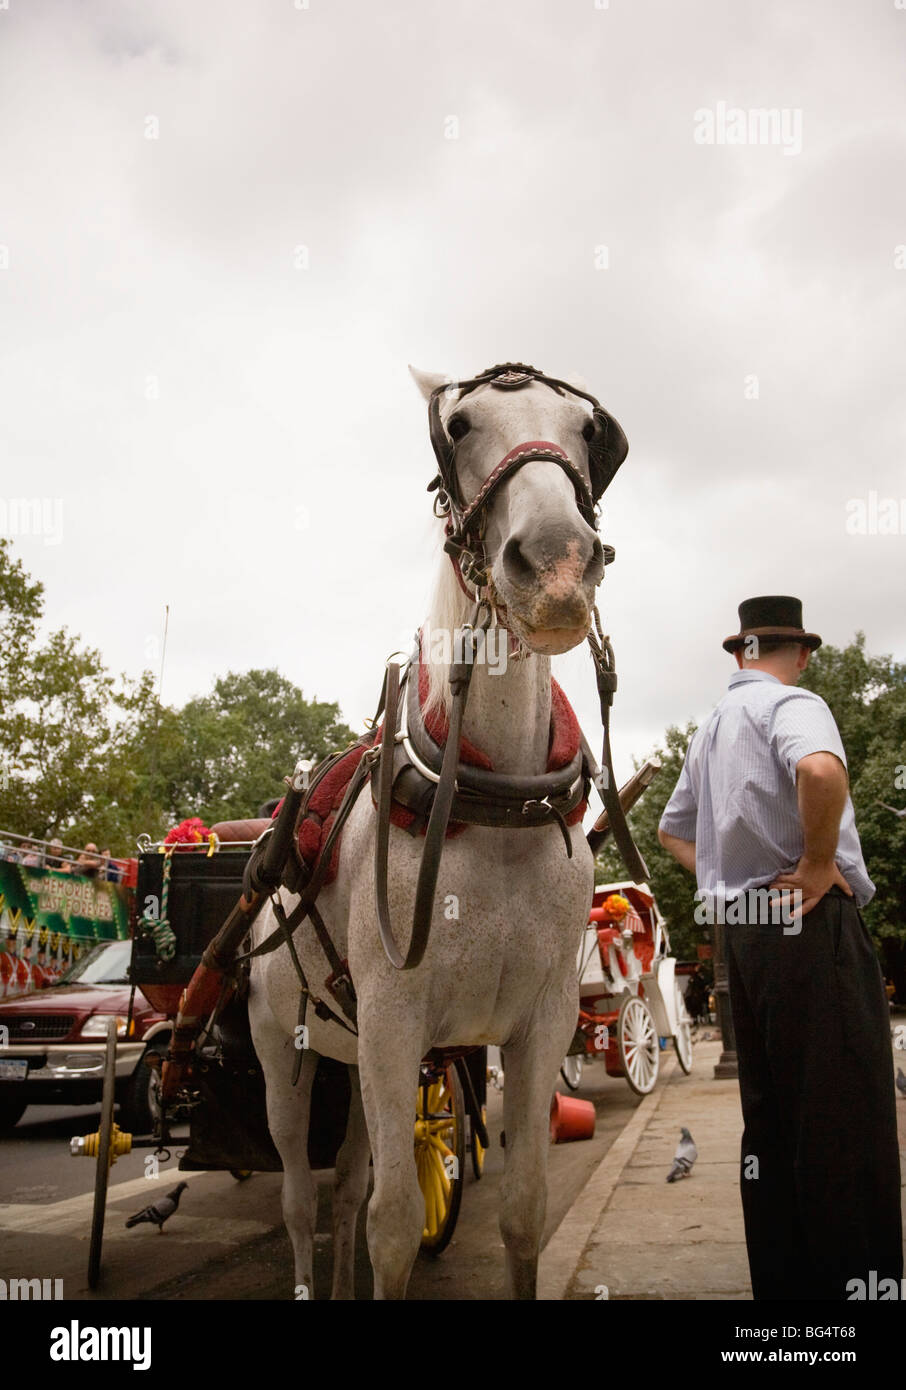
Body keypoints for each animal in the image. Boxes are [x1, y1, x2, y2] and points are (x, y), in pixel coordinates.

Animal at [247, 362, 629, 1299]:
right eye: (459, 426)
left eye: (587, 431)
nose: (558, 563)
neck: (490, 803)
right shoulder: (394, 1024)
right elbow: (392, 1225)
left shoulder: (541, 1021)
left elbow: (523, 1209)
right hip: (285, 1054)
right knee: (306, 1200)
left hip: (351, 1061)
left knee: (348, 1183)